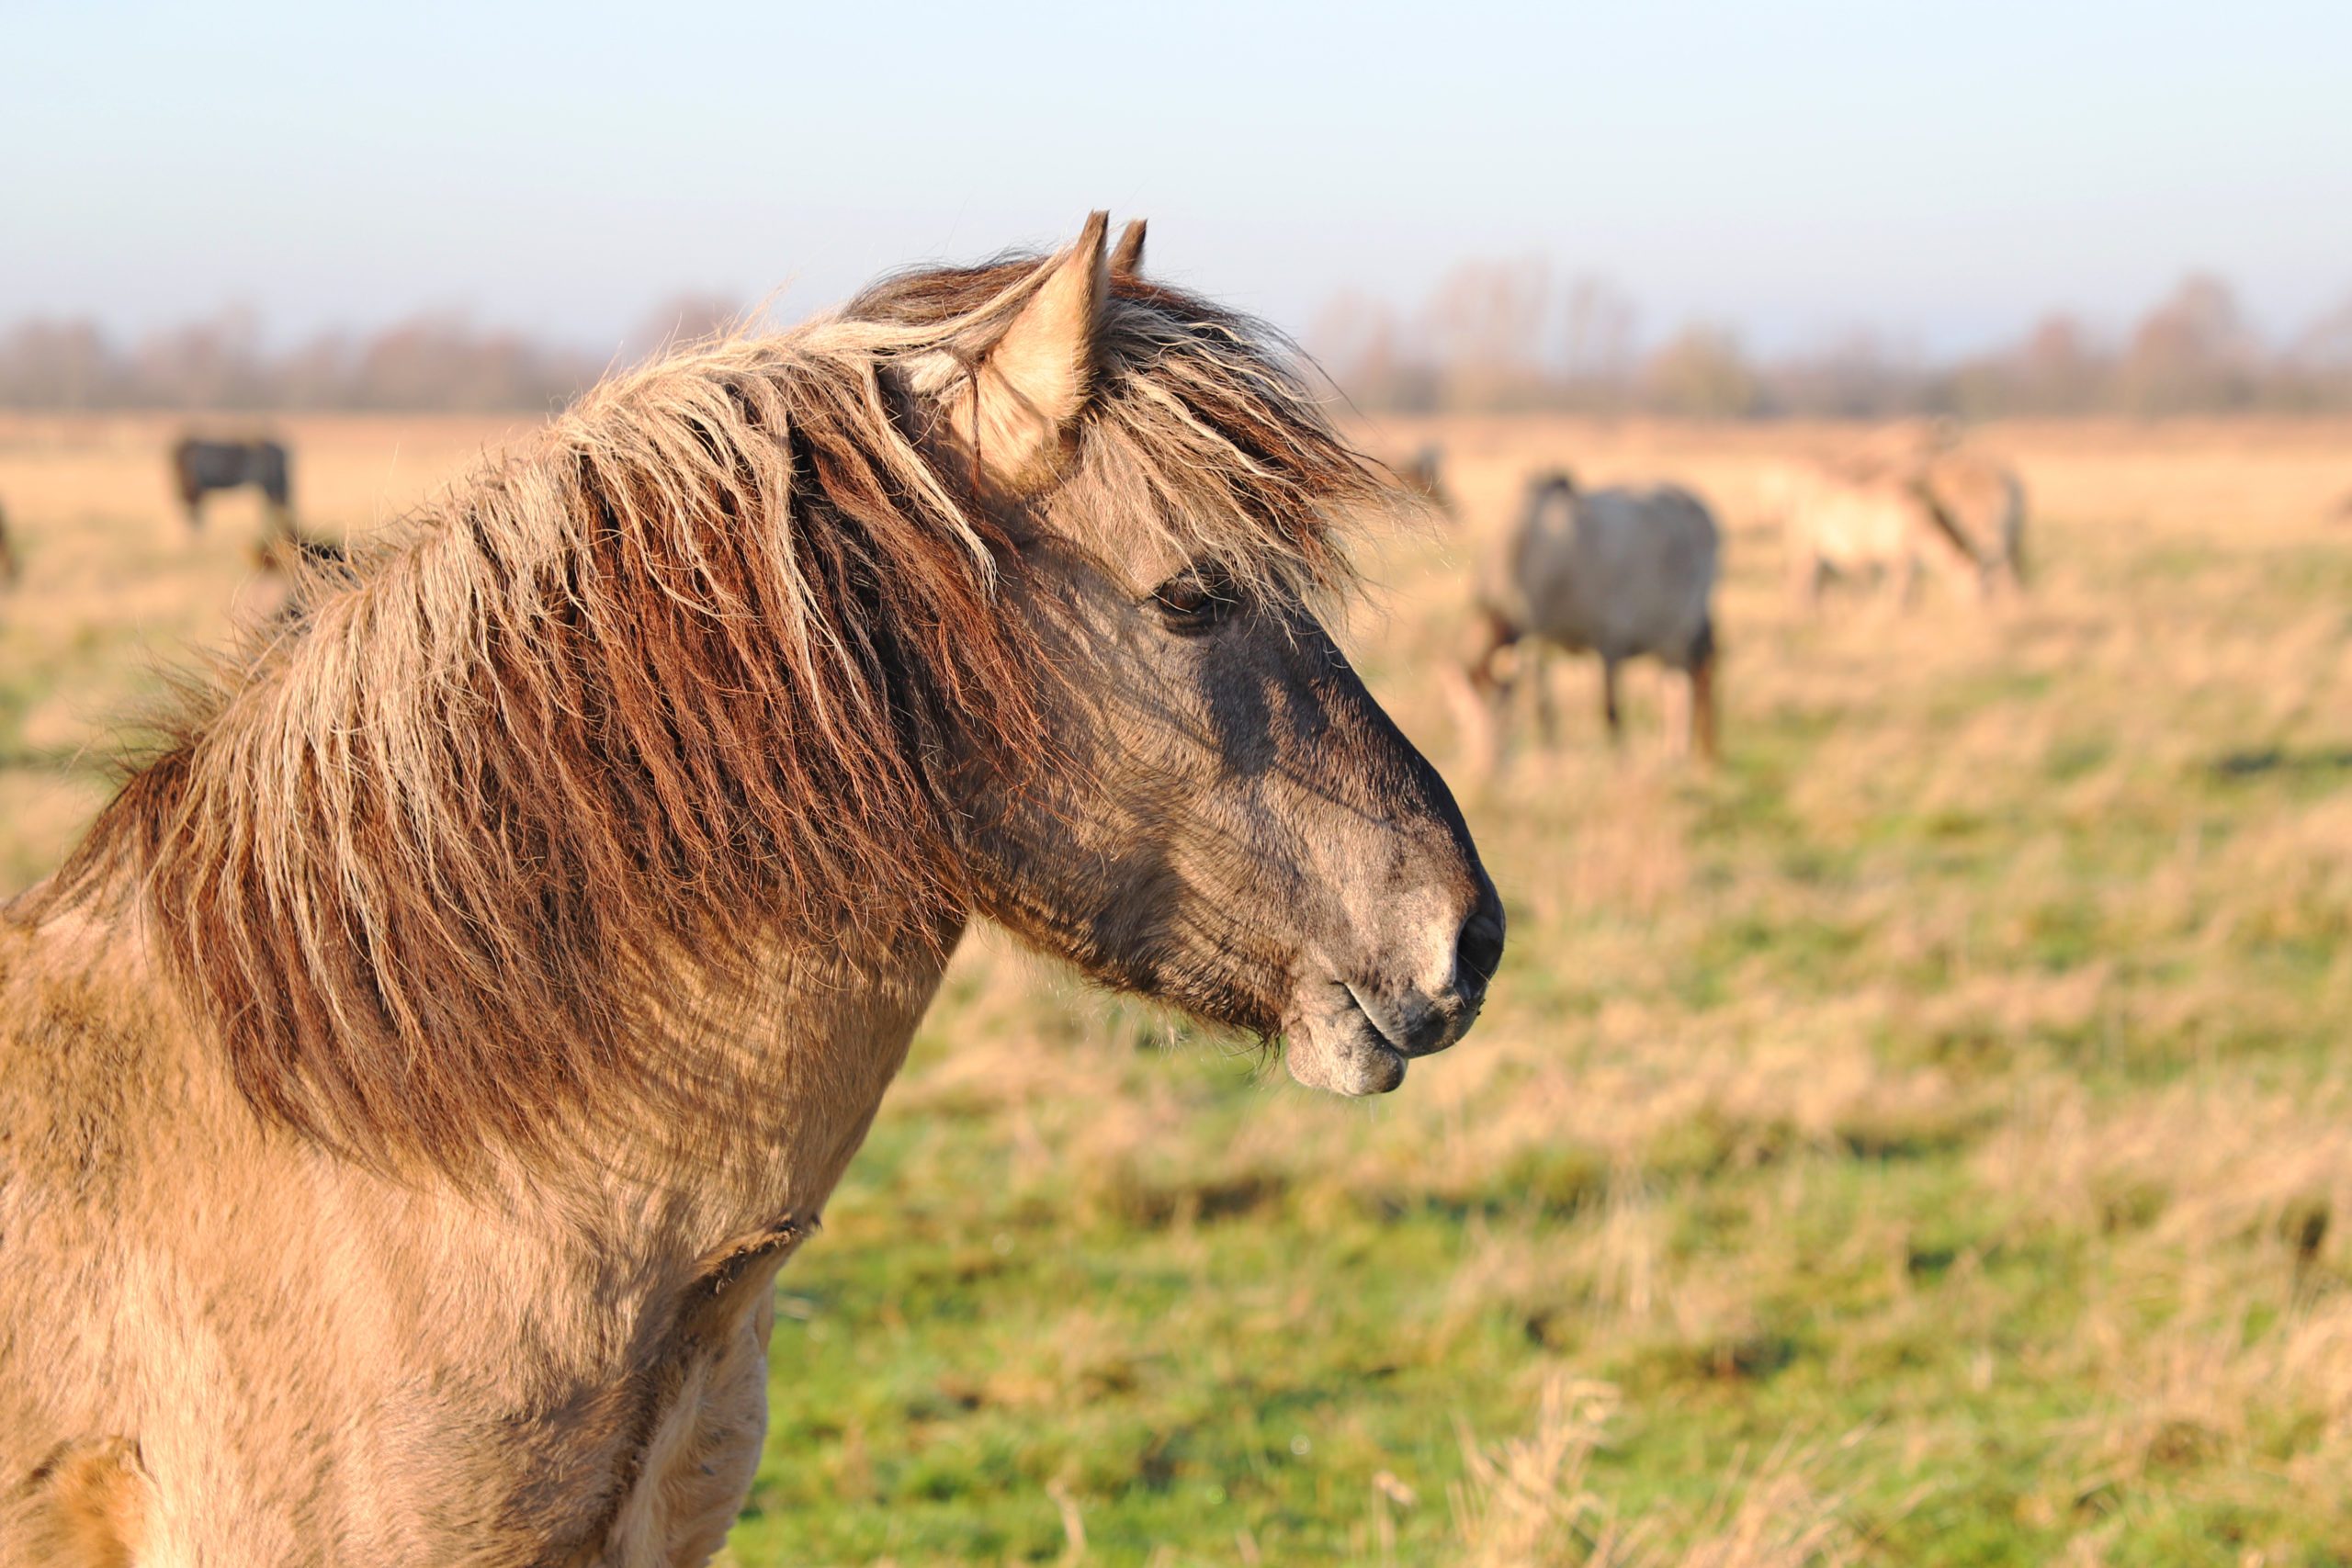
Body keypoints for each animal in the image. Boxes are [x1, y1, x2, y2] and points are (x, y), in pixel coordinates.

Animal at [170, 435, 293, 532]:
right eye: (177, 465)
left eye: (187, 463)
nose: (181, 488)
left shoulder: (198, 495)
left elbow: (197, 518)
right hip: (269, 488)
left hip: (271, 488)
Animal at [1456, 470, 1720, 763]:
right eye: (1462, 722)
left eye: (1499, 713)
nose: (1484, 767)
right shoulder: (1540, 644)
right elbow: (1544, 709)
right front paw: (1550, 759)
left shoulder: (1609, 640)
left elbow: (1610, 710)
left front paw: (1619, 761)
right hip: (1668, 640)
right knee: (1676, 685)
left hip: (1683, 627)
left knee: (1692, 684)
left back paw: (1683, 755)